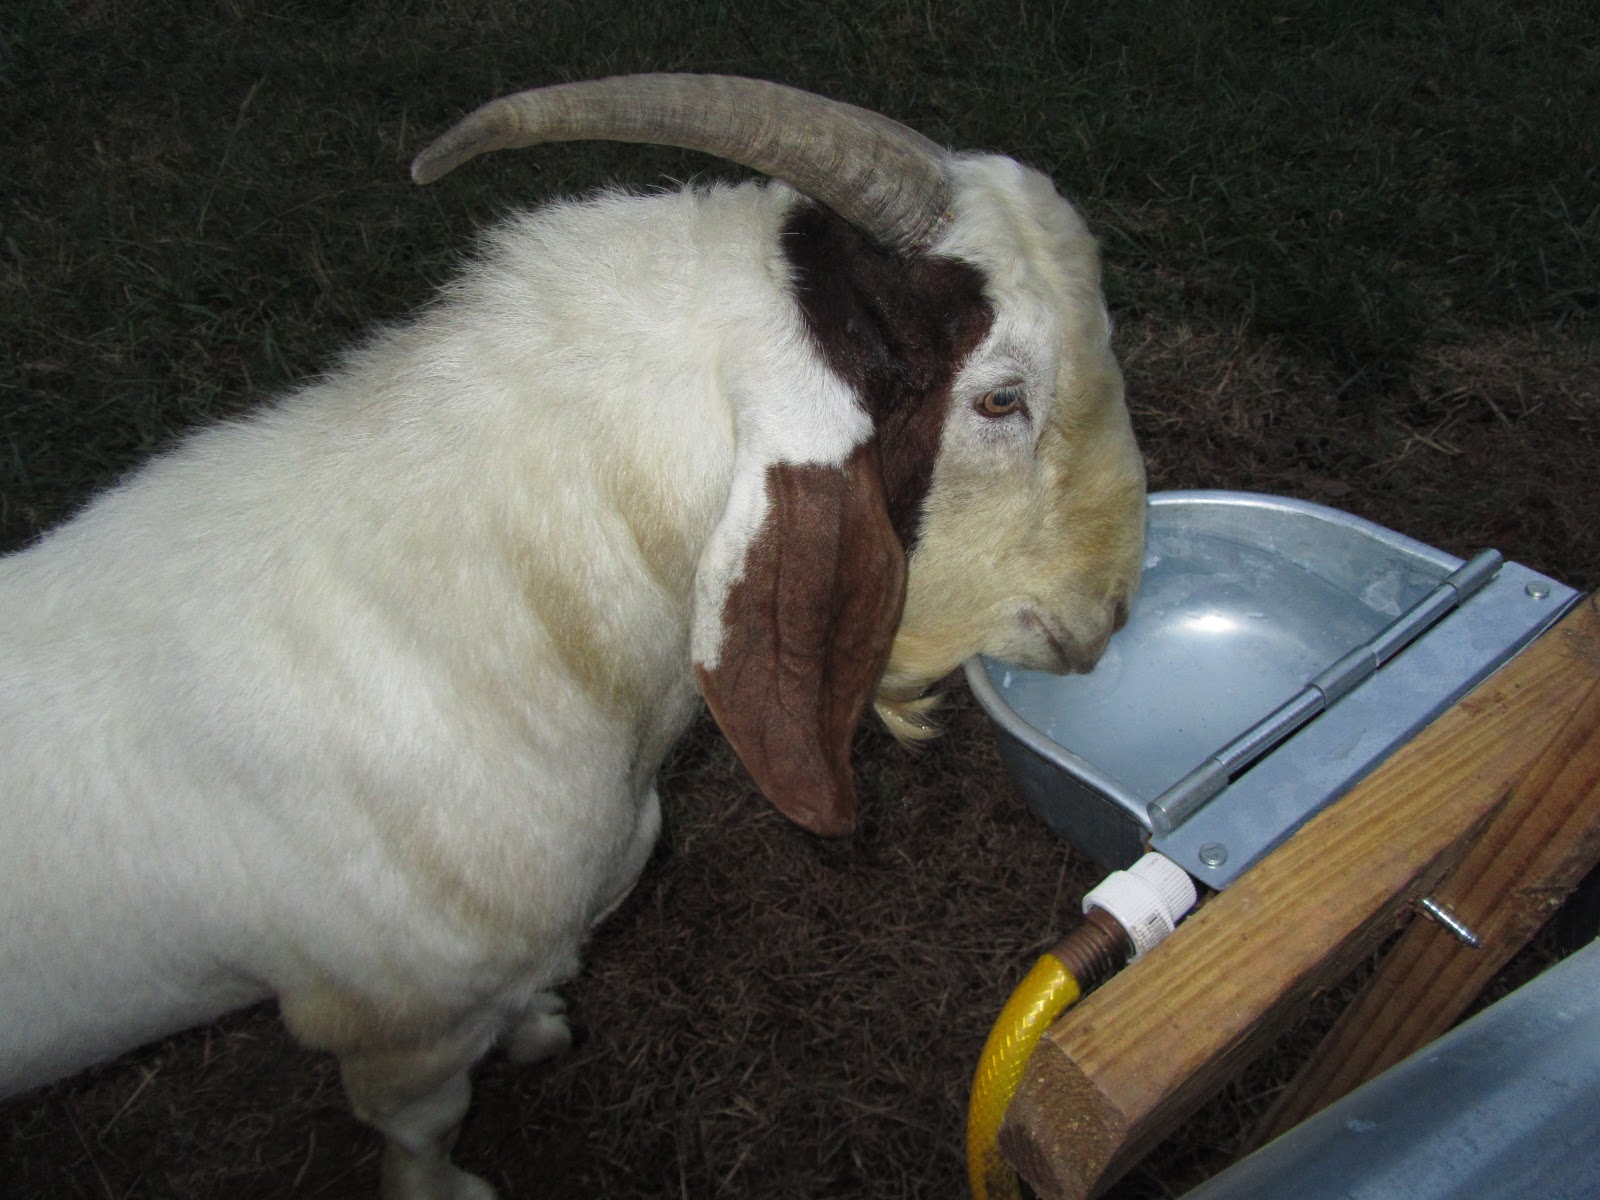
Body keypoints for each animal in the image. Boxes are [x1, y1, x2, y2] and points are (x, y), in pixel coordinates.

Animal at [0, 74, 1145, 1198]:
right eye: (1000, 397)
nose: (1110, 610)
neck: (483, 624)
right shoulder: (399, 1023)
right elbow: (421, 1126)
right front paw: (449, 1188)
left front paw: (544, 1030)